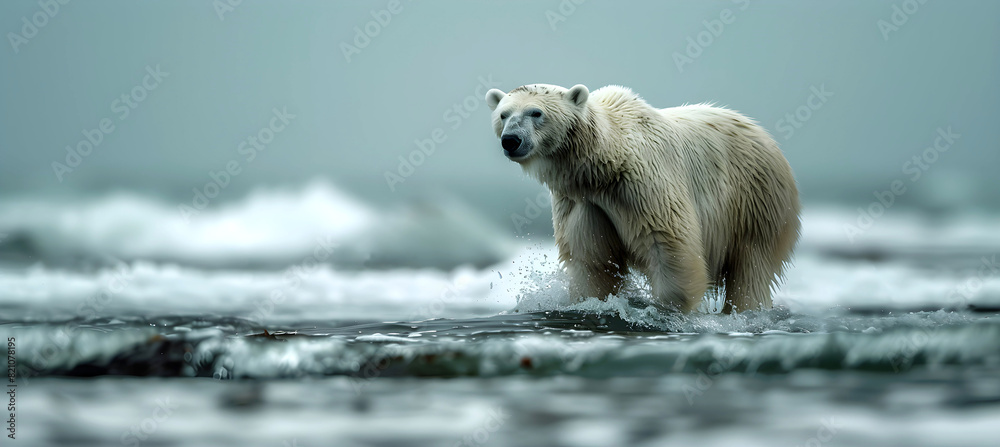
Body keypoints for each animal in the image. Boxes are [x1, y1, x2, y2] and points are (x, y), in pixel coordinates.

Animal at [485, 84, 800, 313]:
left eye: (536, 112)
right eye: (503, 114)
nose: (511, 140)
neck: (604, 161)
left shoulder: (642, 183)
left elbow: (667, 242)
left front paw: (668, 308)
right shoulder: (581, 201)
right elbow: (591, 258)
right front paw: (590, 301)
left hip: (756, 201)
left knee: (752, 265)